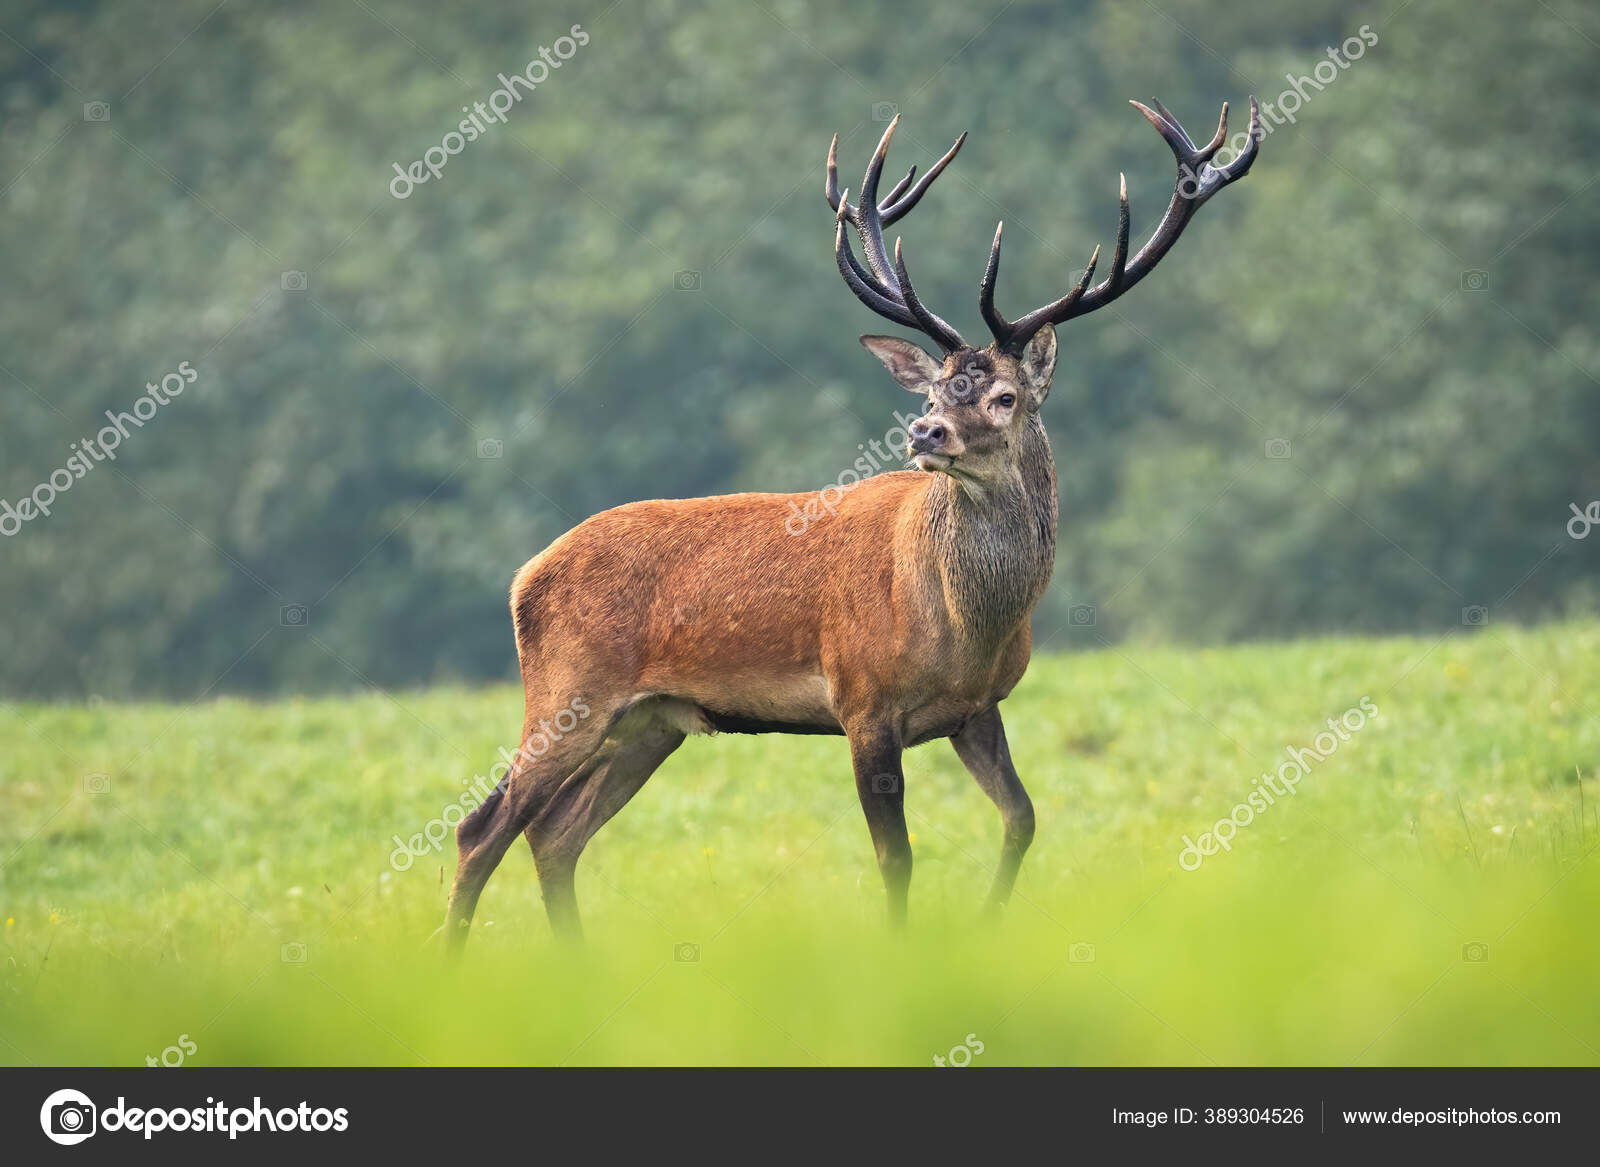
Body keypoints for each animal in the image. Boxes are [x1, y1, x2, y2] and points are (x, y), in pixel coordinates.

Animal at [438, 95, 1260, 950]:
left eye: (1004, 395)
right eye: (933, 390)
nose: (925, 431)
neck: (966, 622)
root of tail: (525, 575)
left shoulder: (978, 708)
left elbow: (1023, 818)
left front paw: (987, 924)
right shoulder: (862, 700)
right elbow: (897, 857)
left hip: (651, 721)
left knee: (553, 832)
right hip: (569, 690)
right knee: (483, 827)